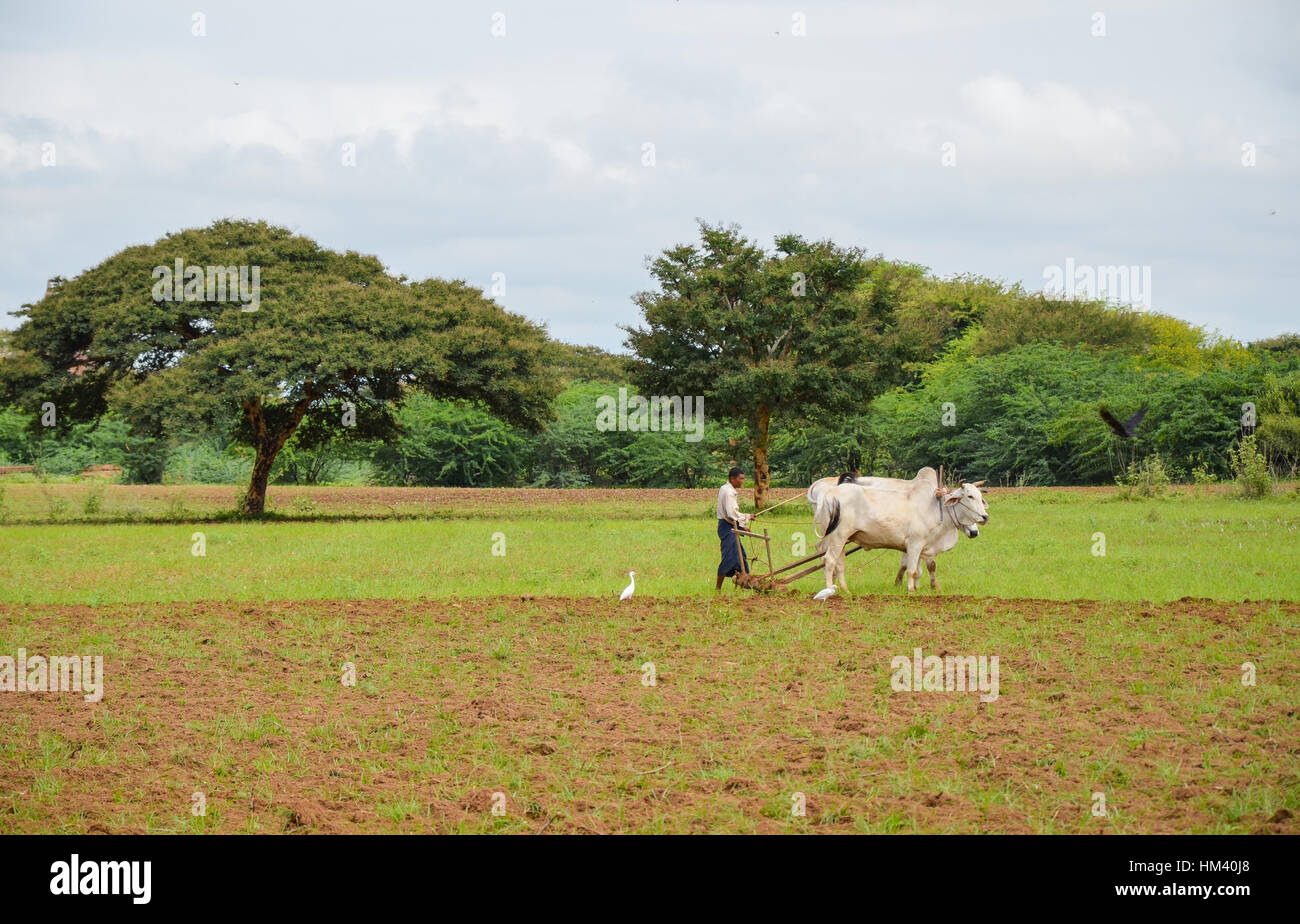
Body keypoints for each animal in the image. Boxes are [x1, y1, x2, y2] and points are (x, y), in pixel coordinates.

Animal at [810, 467, 989, 593]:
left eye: (981, 497)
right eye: (969, 496)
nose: (985, 517)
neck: (936, 509)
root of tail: (829, 493)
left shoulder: (920, 547)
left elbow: (918, 570)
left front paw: (915, 588)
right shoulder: (915, 543)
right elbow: (913, 570)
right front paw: (911, 590)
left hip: (842, 538)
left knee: (839, 563)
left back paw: (845, 590)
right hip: (837, 537)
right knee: (829, 560)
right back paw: (829, 590)